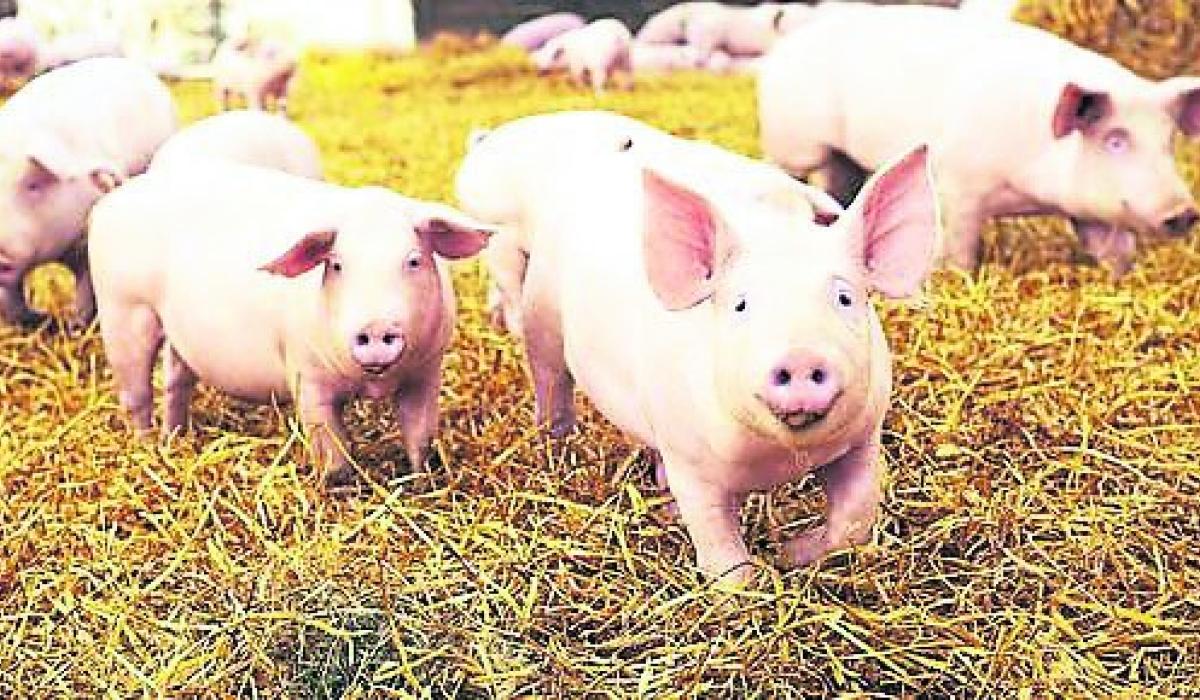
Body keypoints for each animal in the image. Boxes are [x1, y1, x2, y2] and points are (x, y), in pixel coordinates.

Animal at [88, 162, 493, 487]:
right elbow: (332, 449)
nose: (376, 327)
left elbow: (420, 436)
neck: (373, 383)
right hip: (123, 310)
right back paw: (147, 447)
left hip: (177, 332)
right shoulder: (305, 372)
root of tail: (114, 197)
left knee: (175, 380)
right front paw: (342, 489)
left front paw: (423, 484)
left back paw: (175, 440)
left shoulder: (426, 371)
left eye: (413, 261)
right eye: (336, 265)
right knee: (136, 393)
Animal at [456, 111, 936, 582]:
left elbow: (855, 518)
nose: (800, 357)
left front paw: (788, 554)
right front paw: (752, 581)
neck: (783, 459)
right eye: (740, 304)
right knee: (552, 387)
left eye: (845, 298)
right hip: (543, 319)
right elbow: (724, 557)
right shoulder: (692, 463)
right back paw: (556, 449)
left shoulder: (864, 436)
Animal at [759, 4, 1200, 274]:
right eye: (1115, 140)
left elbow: (1113, 249)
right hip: (796, 143)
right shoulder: (959, 186)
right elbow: (959, 247)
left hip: (843, 156)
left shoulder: (1091, 211)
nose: (1183, 212)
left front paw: (1120, 273)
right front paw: (955, 274)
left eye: (1169, 142)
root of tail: (791, 35)